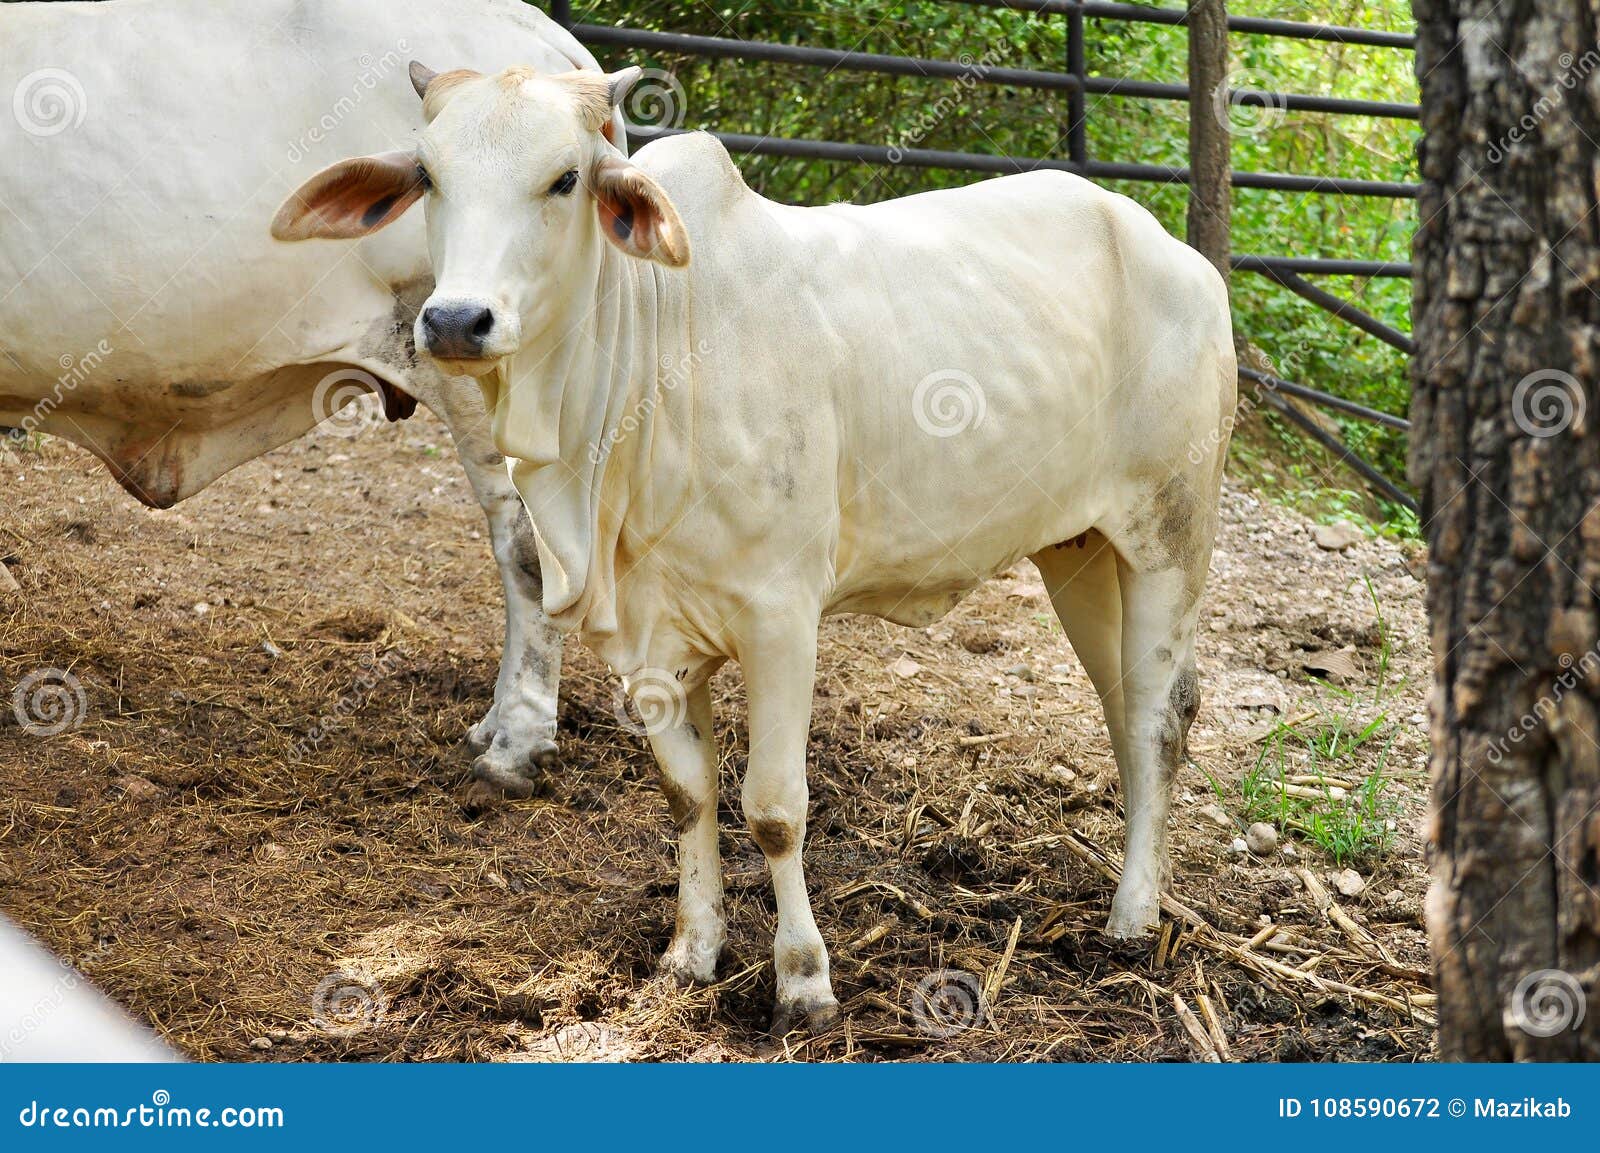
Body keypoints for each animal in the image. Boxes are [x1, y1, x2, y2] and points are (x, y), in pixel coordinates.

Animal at [274, 64, 1237, 1034]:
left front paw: (804, 981)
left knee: (1157, 717)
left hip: (1171, 533)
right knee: (1121, 708)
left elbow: (774, 809)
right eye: (429, 176)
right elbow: (687, 793)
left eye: (565, 180)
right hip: (1079, 550)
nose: (456, 320)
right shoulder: (647, 641)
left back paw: (1131, 917)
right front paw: (689, 952)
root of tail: (1172, 252)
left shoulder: (782, 618)